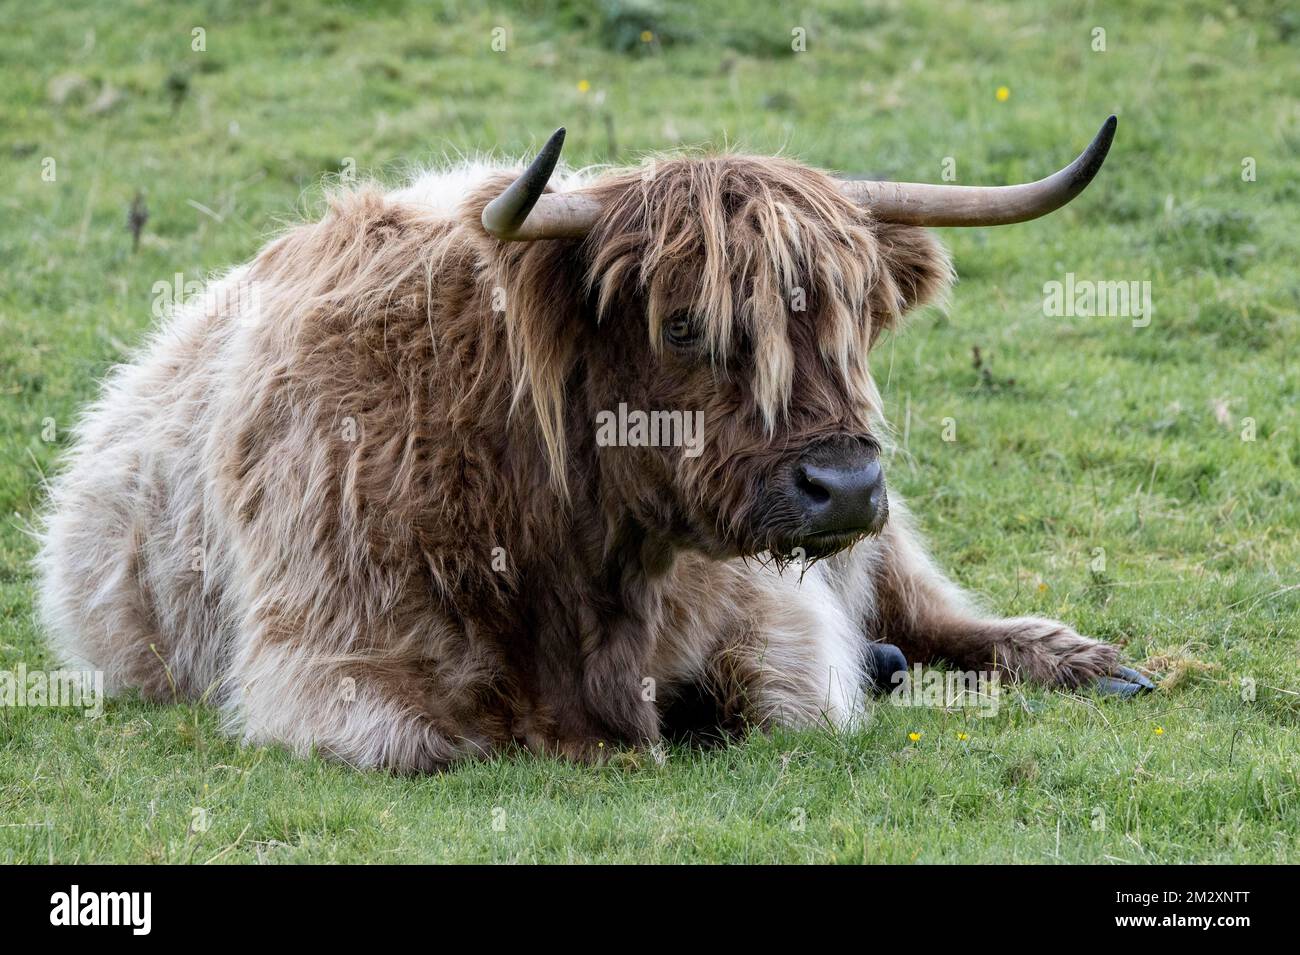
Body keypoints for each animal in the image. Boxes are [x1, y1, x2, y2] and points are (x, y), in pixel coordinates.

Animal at [37, 117, 1150, 771]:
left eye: (855, 320)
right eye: (683, 325)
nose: (843, 483)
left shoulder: (775, 617)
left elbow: (779, 697)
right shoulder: (321, 659)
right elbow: (428, 742)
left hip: (890, 550)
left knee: (931, 609)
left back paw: (1093, 664)